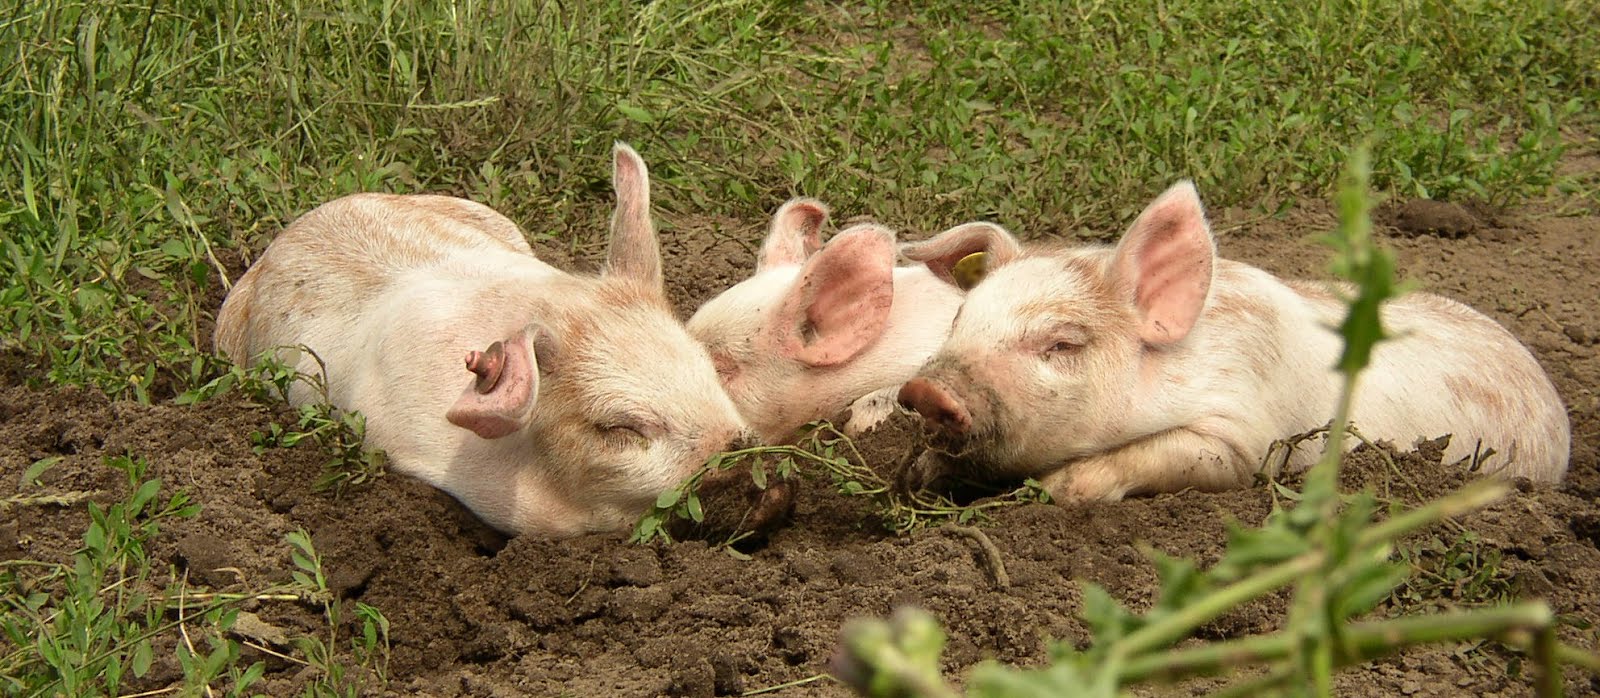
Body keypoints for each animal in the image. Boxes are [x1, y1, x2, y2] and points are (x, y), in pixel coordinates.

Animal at [896, 181, 1570, 502]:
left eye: (1062, 344)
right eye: (960, 321)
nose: (926, 390)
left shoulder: (1244, 437)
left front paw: (1055, 491)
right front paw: (919, 476)